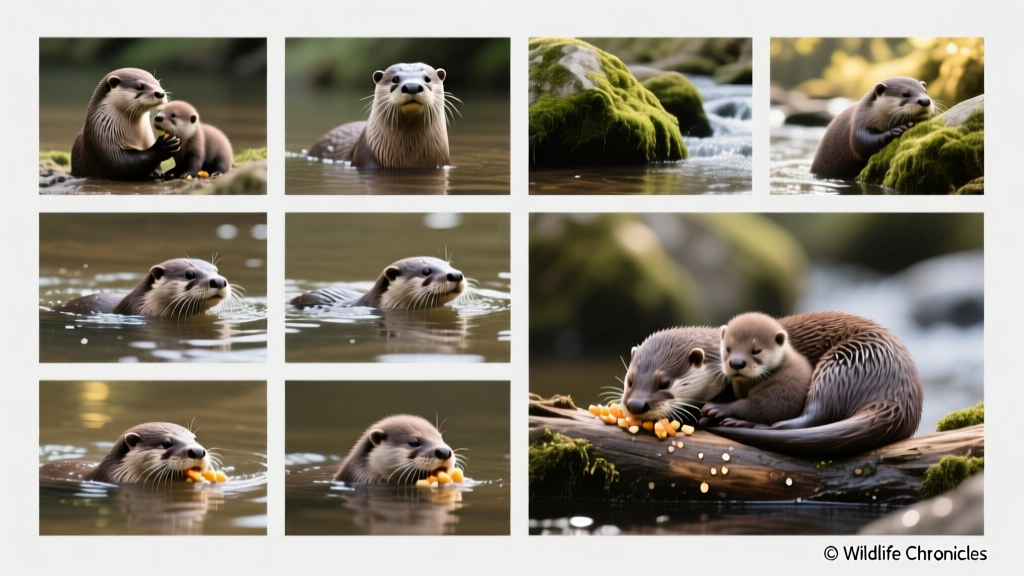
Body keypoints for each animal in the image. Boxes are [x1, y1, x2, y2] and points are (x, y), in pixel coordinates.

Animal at [621, 311, 923, 456]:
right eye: (629, 380)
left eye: (664, 382)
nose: (635, 404)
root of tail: (902, 397)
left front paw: (718, 411)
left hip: (843, 364)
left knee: (813, 414)